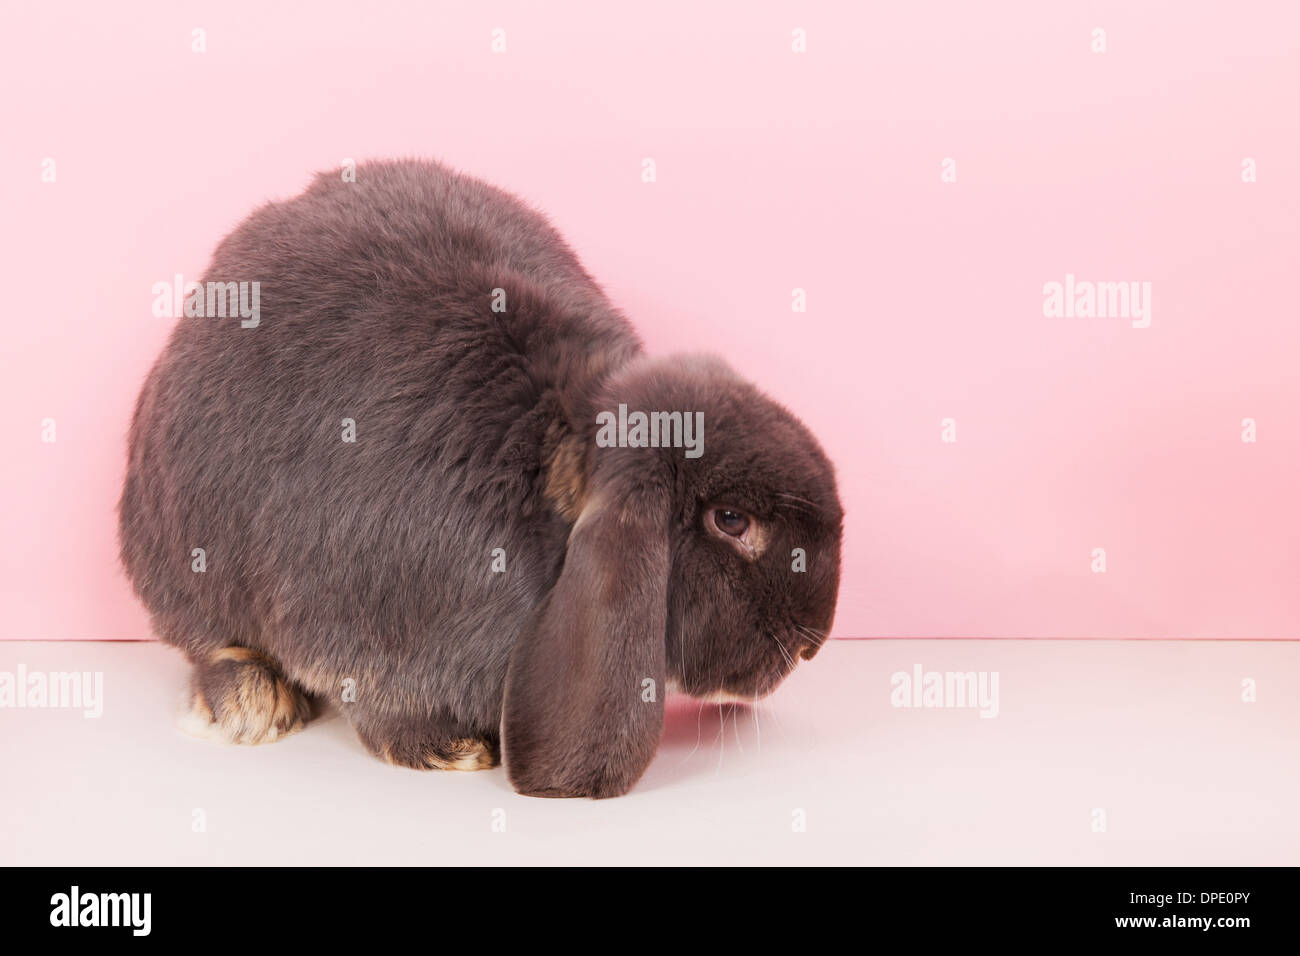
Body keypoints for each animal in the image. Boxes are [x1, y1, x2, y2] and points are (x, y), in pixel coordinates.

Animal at [118, 158, 843, 798]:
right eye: (731, 520)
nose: (810, 646)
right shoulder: (364, 629)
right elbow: (383, 702)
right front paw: (452, 751)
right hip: (180, 547)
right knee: (205, 635)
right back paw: (252, 705)